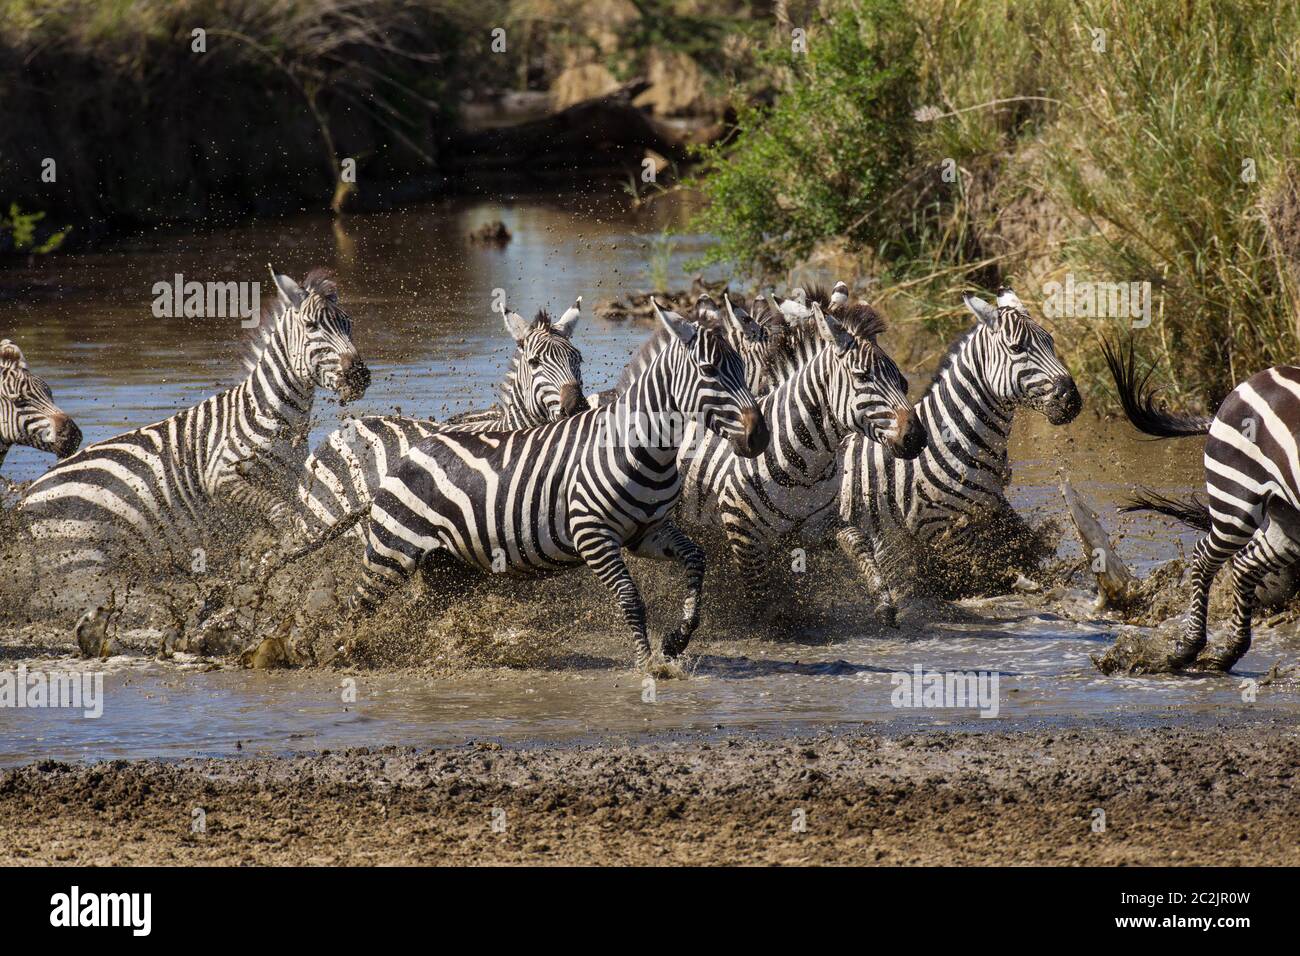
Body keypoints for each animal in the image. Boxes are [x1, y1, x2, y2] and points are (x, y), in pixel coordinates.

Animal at [17, 268, 369, 581]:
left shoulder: (288, 480)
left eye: (348, 324)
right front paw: (291, 549)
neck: (272, 414)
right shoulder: (221, 477)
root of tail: (27, 497)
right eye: (311, 326)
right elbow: (283, 513)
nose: (360, 376)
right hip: (82, 559)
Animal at [346, 300, 770, 667]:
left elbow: (697, 558)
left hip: (447, 567)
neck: (641, 447)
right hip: (392, 552)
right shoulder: (593, 536)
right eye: (709, 371)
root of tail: (414, 449)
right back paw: (343, 651)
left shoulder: (648, 532)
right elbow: (631, 598)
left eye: (743, 369)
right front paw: (648, 665)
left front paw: (676, 640)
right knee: (357, 605)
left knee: (421, 612)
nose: (760, 437)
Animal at [674, 300, 925, 623]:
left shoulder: (817, 524)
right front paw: (764, 626)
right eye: (862, 376)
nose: (916, 437)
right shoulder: (740, 529)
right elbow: (757, 593)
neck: (806, 468)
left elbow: (859, 541)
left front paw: (884, 601)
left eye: (903, 383)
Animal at [839, 288, 1081, 596]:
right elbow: (988, 571)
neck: (956, 440)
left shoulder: (993, 509)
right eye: (1017, 348)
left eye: (1050, 342)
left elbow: (1023, 548)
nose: (1071, 399)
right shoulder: (938, 531)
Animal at [1104, 339, 1300, 671]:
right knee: (1205, 556)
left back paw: (1227, 652)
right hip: (1236, 496)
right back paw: (1188, 649)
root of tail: (1250, 381)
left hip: (1289, 516)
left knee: (1245, 564)